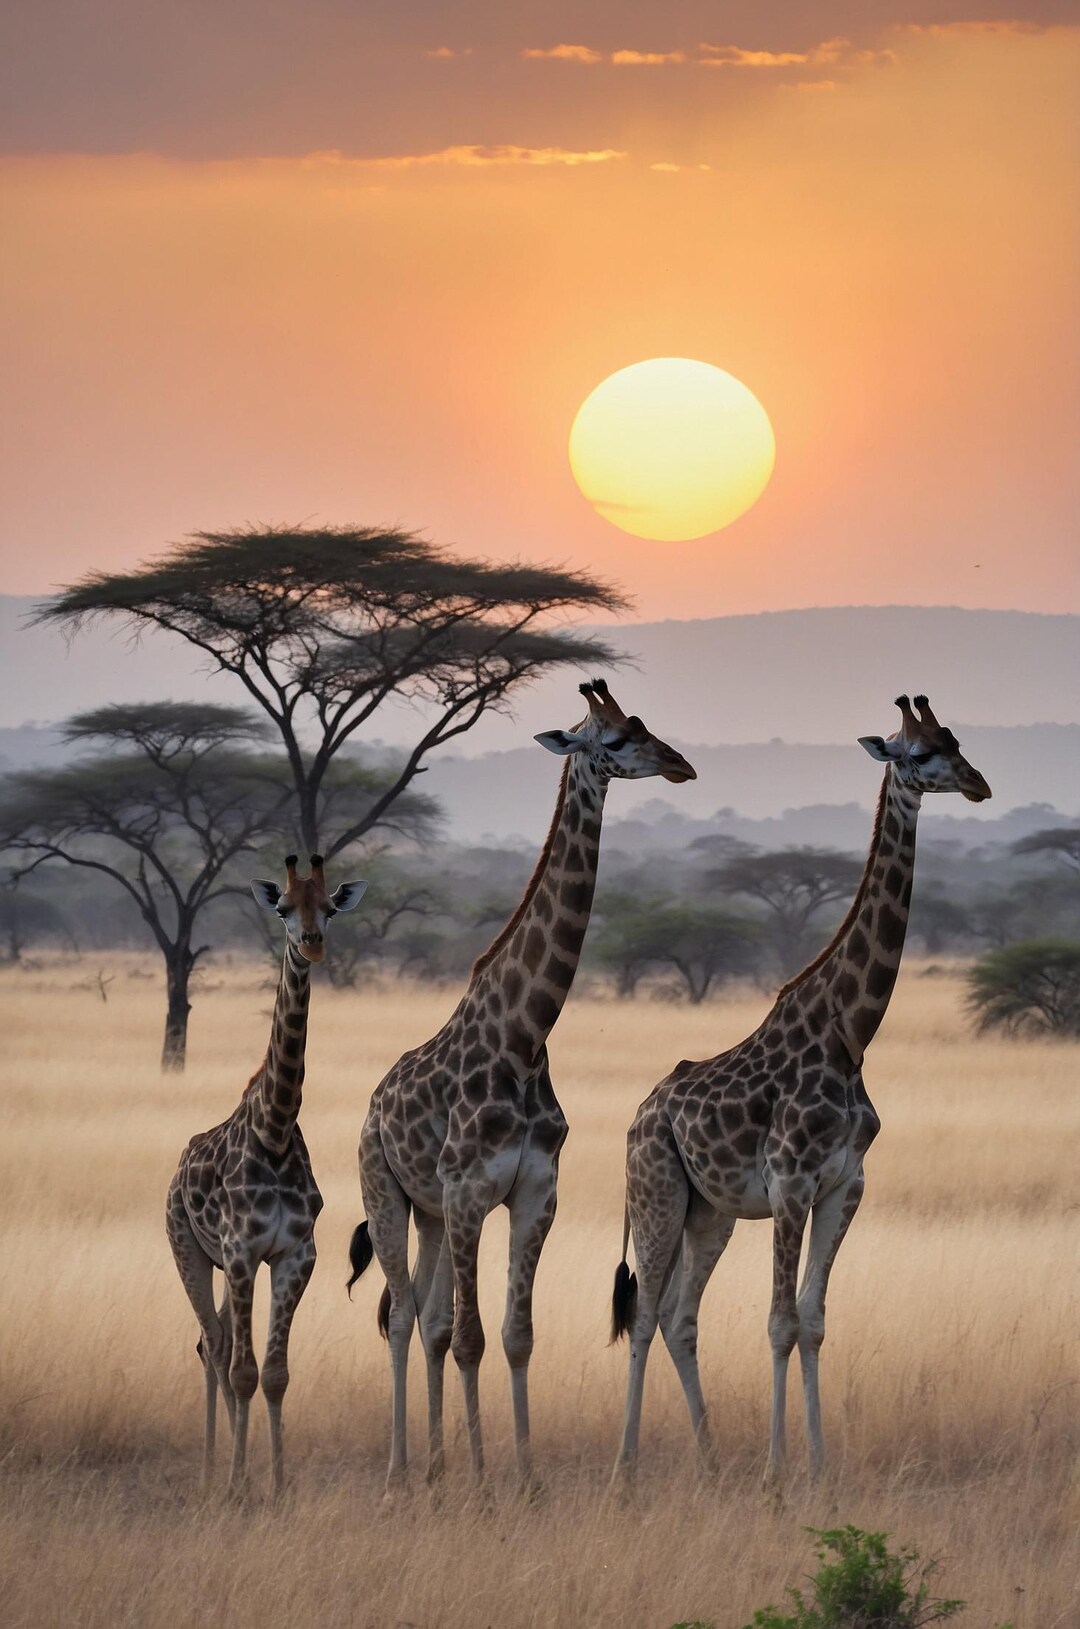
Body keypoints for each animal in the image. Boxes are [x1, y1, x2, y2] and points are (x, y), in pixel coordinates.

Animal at [166, 853, 366, 1495]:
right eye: (281, 907)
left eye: (328, 907)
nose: (312, 944)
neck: (275, 1131)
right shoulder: (239, 1251)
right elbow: (245, 1371)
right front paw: (238, 1486)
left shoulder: (294, 1254)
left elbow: (274, 1373)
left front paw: (276, 1486)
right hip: (187, 1250)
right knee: (212, 1345)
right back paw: (212, 1473)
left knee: (217, 1343)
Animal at [348, 679, 696, 1497]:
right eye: (617, 738)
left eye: (645, 725)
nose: (680, 764)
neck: (526, 1035)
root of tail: (374, 1103)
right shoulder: (473, 1190)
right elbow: (472, 1337)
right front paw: (484, 1485)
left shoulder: (535, 1190)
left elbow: (514, 1334)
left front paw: (526, 1480)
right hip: (388, 1192)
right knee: (405, 1317)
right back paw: (401, 1473)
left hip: (432, 1213)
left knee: (428, 1316)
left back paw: (435, 1467)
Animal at [610, 694, 992, 1488]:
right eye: (920, 753)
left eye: (958, 742)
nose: (979, 784)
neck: (849, 1033)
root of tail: (638, 1115)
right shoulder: (790, 1182)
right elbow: (779, 1320)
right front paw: (775, 1476)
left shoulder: (846, 1184)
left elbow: (813, 1320)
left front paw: (816, 1469)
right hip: (655, 1191)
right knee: (644, 1313)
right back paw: (626, 1472)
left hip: (708, 1212)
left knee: (678, 1317)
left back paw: (708, 1461)